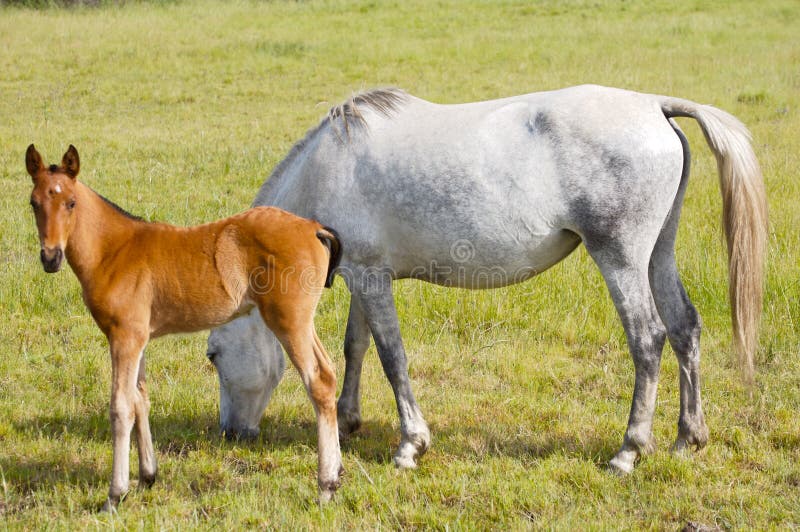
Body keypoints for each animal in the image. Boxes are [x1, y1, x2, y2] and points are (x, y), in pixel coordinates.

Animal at [25, 145, 344, 510]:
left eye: (71, 203)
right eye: (34, 202)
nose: (50, 257)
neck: (113, 250)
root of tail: (313, 228)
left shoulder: (124, 337)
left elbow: (121, 407)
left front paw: (115, 495)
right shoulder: (139, 338)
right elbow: (141, 399)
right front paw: (147, 476)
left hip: (289, 322)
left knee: (318, 382)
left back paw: (325, 486)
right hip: (303, 323)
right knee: (329, 373)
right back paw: (336, 475)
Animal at [206, 85, 767, 475]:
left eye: (212, 354)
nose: (230, 434)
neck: (329, 166)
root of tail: (655, 107)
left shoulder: (370, 279)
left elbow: (391, 356)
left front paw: (410, 445)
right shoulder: (363, 277)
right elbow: (355, 347)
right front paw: (346, 420)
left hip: (622, 260)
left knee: (648, 340)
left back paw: (629, 451)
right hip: (658, 255)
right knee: (684, 328)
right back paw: (687, 438)